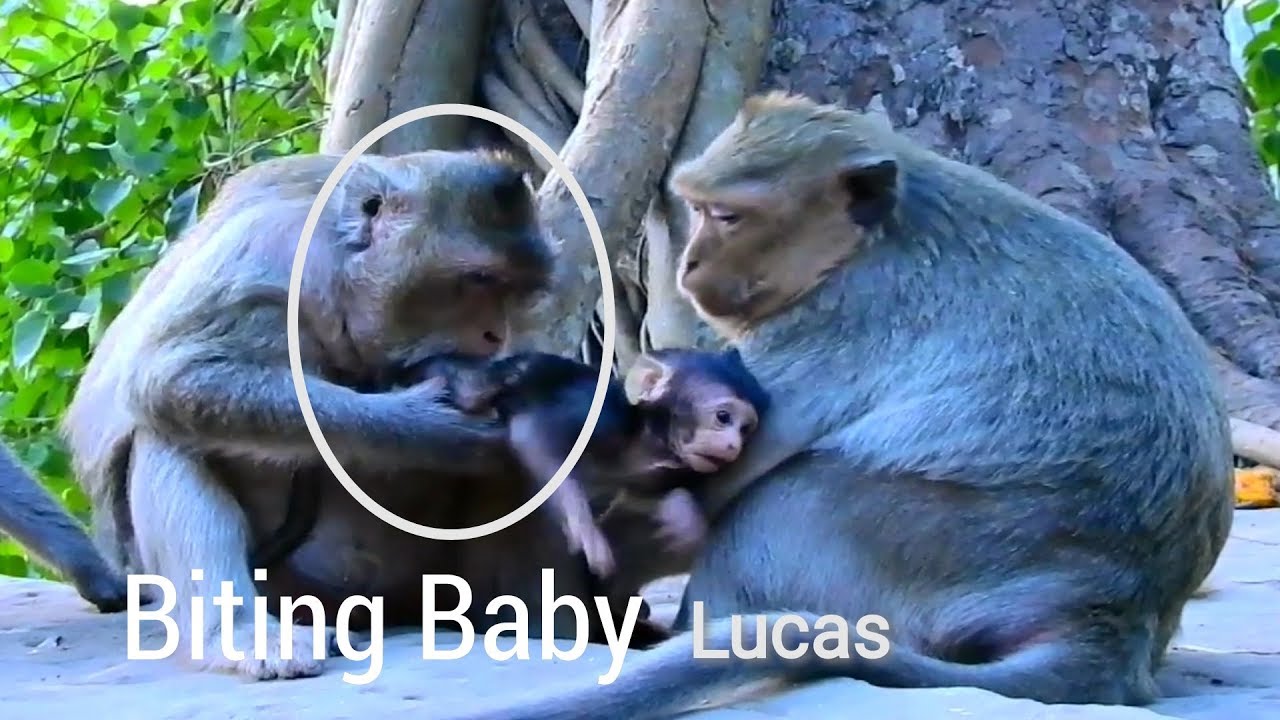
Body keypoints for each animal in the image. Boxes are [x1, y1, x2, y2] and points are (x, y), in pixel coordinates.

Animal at [61, 148, 568, 679]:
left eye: (516, 291)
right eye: (478, 280)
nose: (496, 335)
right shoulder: (268, 251)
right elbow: (171, 374)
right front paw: (435, 430)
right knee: (165, 433)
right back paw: (241, 631)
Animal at [440, 92, 1236, 720]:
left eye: (728, 216)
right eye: (697, 211)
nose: (690, 263)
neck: (877, 237)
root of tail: (1110, 616)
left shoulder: (840, 317)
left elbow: (714, 471)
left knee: (771, 508)